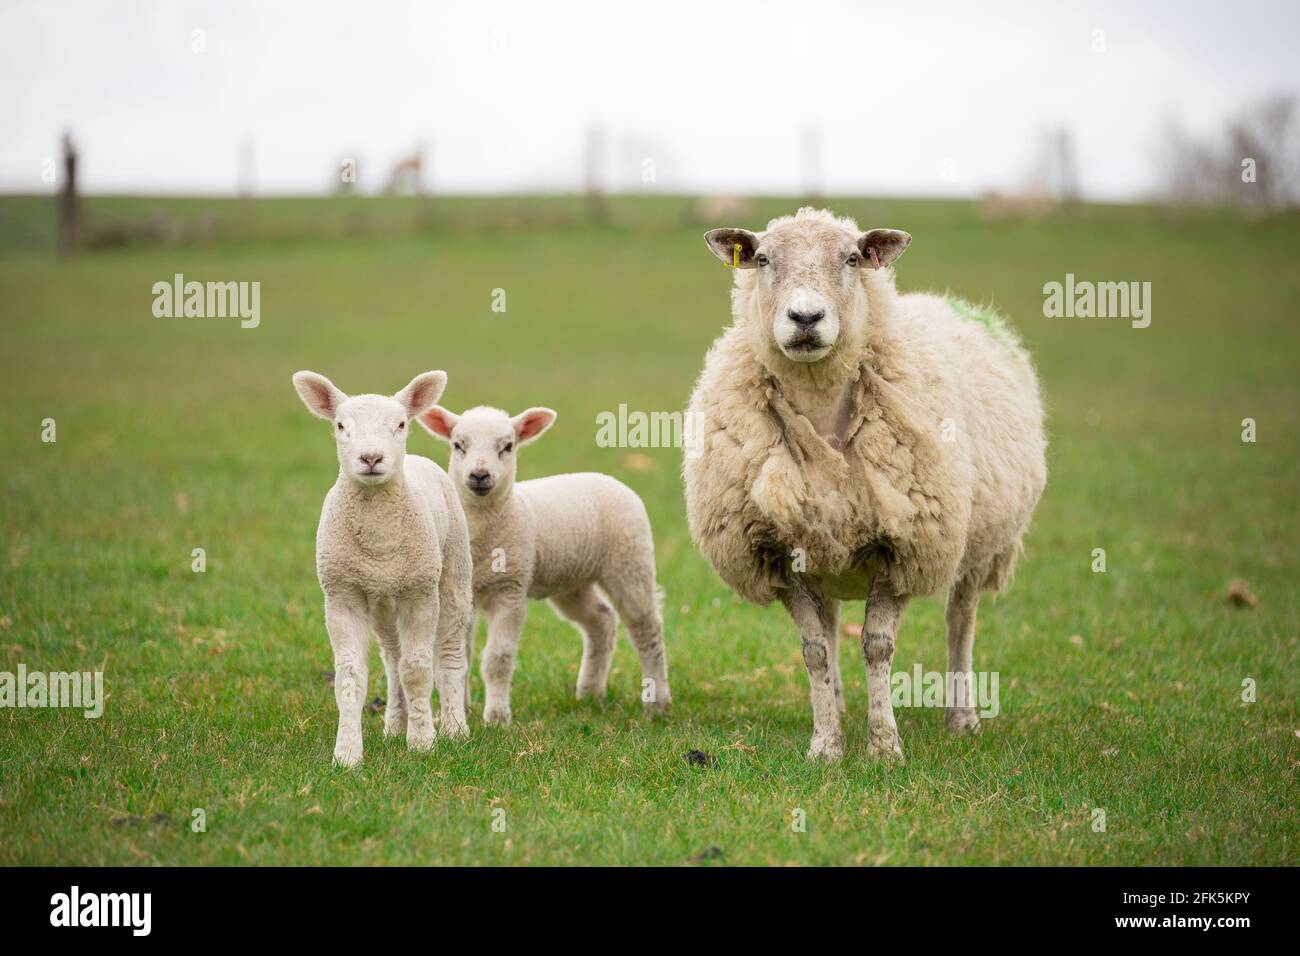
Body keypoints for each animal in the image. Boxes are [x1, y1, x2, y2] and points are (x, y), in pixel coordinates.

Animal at [292, 369, 474, 767]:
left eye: (401, 424)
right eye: (341, 425)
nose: (371, 457)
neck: (379, 543)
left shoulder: (420, 594)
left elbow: (418, 670)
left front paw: (422, 743)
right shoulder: (342, 596)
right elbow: (351, 677)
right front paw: (347, 754)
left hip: (452, 574)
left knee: (449, 653)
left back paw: (455, 729)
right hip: (383, 604)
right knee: (393, 661)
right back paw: (394, 725)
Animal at [417, 404, 671, 724]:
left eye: (508, 446)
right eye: (458, 445)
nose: (479, 475)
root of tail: (608, 478)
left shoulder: (510, 589)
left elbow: (498, 659)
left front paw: (497, 717)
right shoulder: (463, 593)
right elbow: (460, 656)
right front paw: (459, 712)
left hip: (631, 562)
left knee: (646, 628)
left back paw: (657, 701)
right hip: (572, 582)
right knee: (600, 620)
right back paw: (590, 691)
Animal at [684, 207, 1047, 763]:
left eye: (853, 258)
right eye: (762, 259)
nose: (805, 319)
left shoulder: (905, 543)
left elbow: (878, 645)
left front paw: (884, 745)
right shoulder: (777, 550)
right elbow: (814, 649)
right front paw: (826, 745)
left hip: (977, 544)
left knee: (960, 620)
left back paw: (961, 716)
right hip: (822, 543)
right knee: (832, 626)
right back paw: (835, 702)